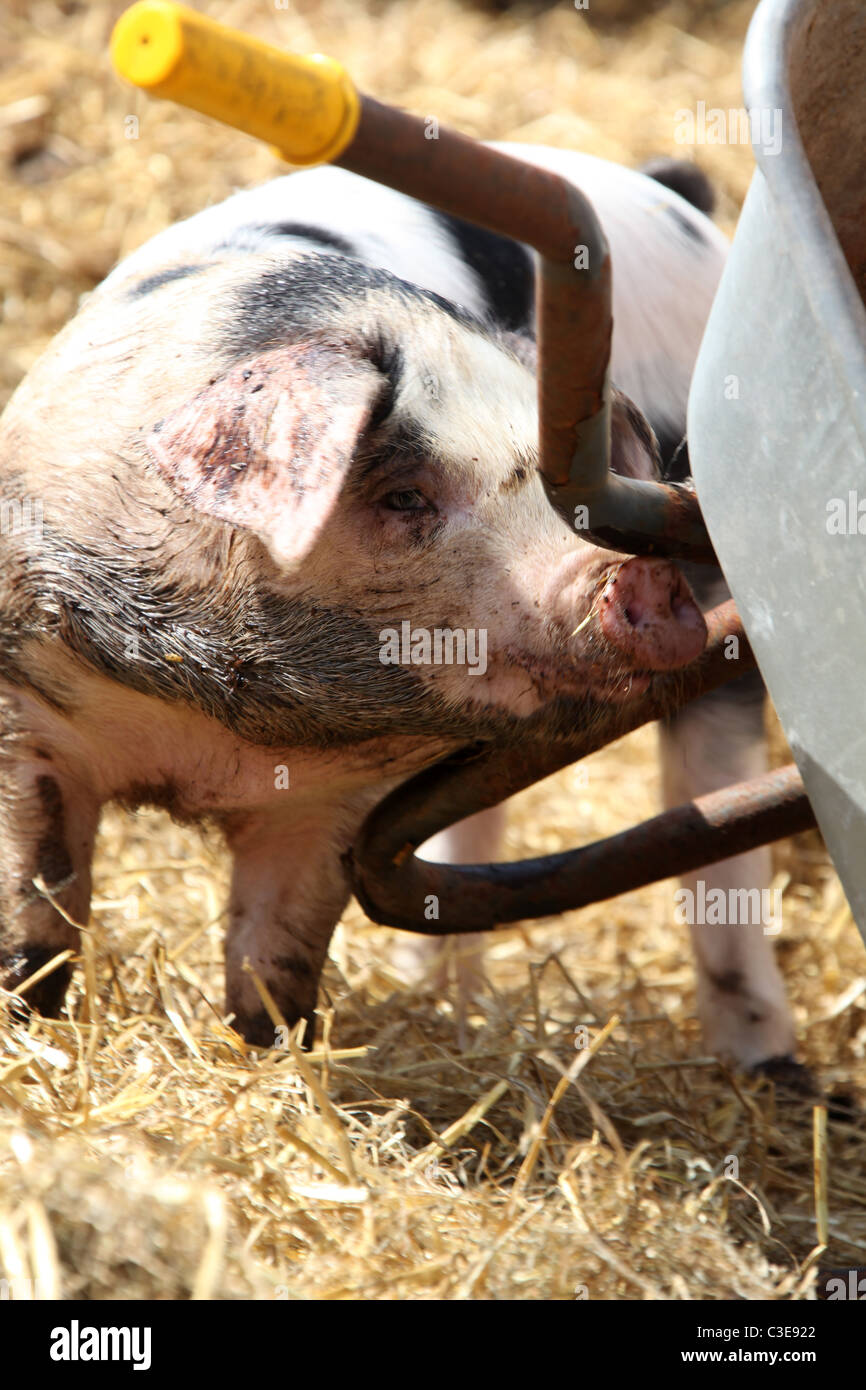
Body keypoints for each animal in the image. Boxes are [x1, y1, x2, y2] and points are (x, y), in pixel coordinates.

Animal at [0, 143, 795, 1073]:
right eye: (405, 495)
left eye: (571, 496)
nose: (635, 577)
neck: (223, 719)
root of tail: (670, 188)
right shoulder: (29, 705)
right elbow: (38, 914)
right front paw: (30, 1031)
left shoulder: (336, 806)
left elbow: (279, 960)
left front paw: (276, 1057)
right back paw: (440, 995)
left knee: (715, 823)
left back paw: (771, 1068)